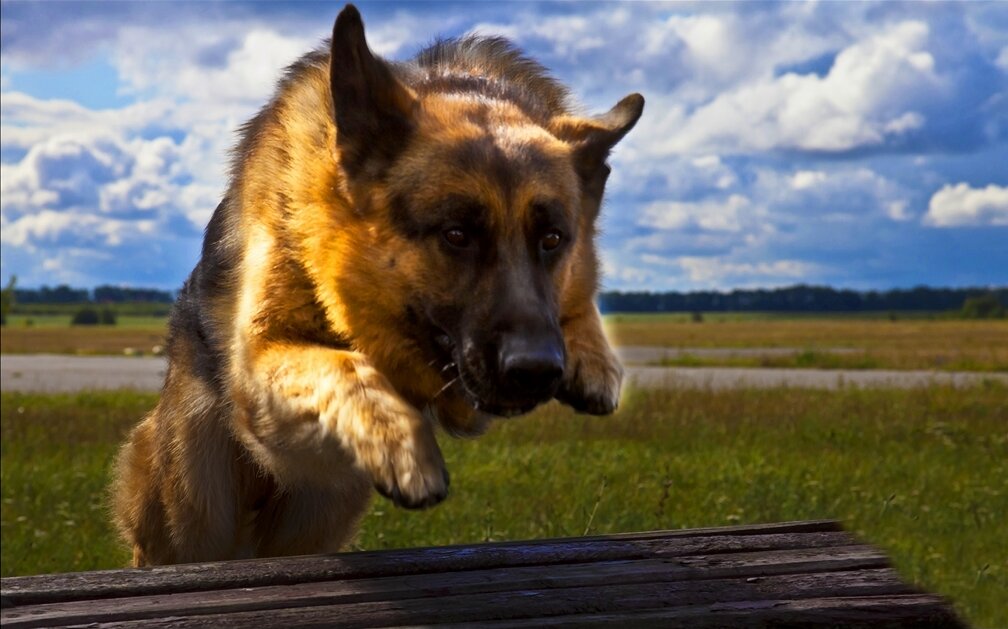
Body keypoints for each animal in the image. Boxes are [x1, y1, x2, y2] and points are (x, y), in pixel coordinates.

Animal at [112, 4, 645, 564]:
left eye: (552, 239)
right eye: (456, 235)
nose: (537, 369)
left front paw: (593, 354)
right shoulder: (258, 369)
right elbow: (345, 365)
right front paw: (402, 444)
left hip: (318, 512)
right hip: (196, 511)